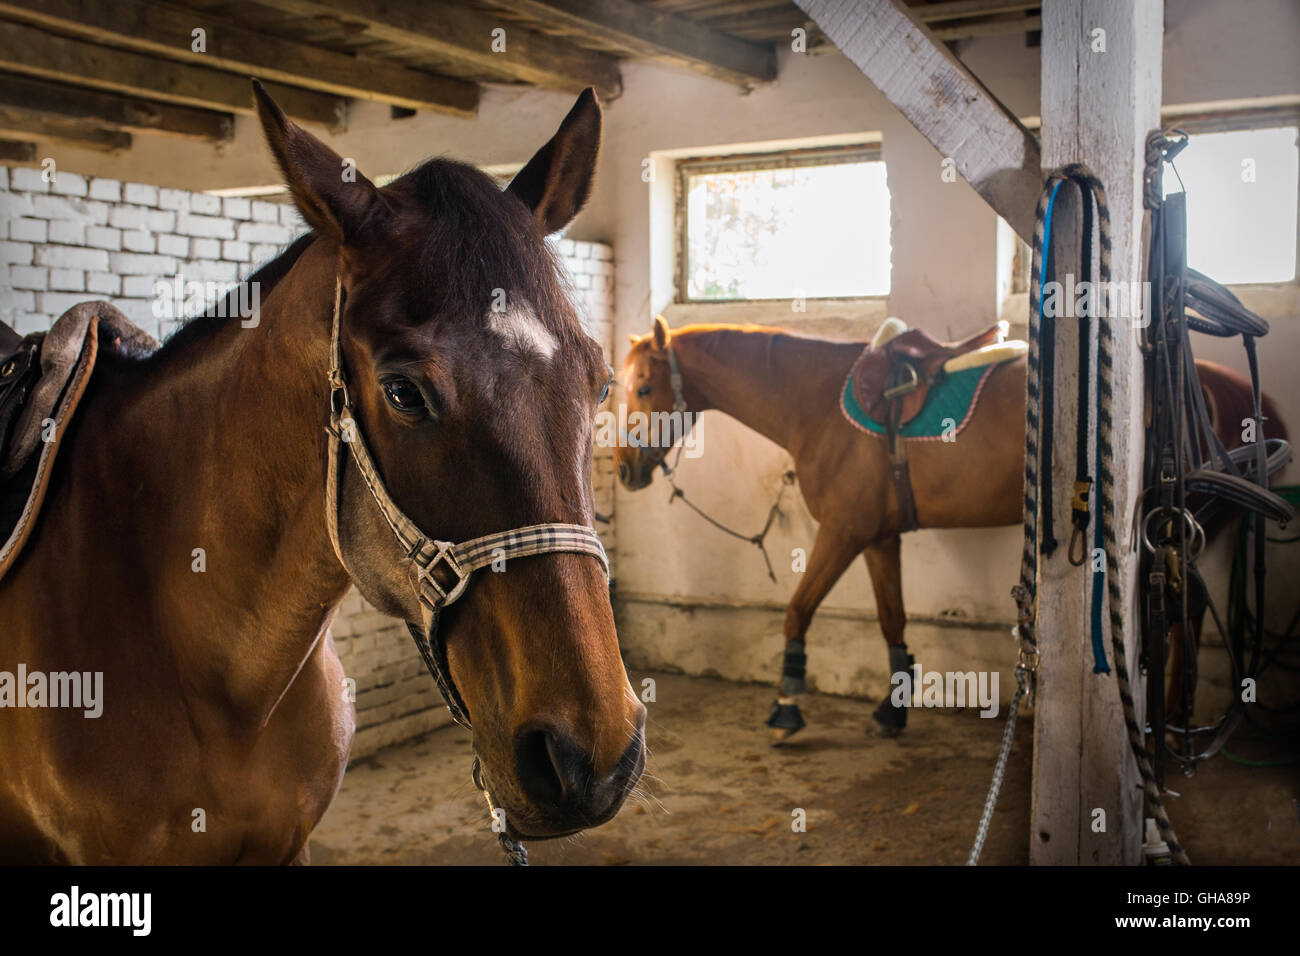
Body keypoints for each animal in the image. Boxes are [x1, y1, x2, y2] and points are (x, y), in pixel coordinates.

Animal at [614, 316, 1284, 739]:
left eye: (643, 387)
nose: (622, 469)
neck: (817, 404)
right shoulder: (878, 538)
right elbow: (892, 619)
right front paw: (892, 709)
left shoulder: (842, 533)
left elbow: (797, 610)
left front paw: (786, 704)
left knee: (1183, 620)